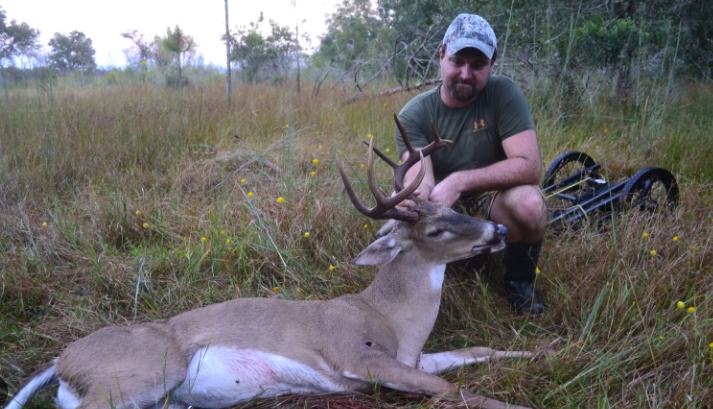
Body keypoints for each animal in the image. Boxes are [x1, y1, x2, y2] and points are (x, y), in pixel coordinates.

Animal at [4, 115, 537, 409]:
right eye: (436, 230)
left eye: (452, 209)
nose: (498, 232)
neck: (392, 319)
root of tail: (62, 359)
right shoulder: (355, 354)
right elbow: (453, 390)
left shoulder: (413, 356)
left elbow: (475, 352)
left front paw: (537, 352)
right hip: (138, 375)